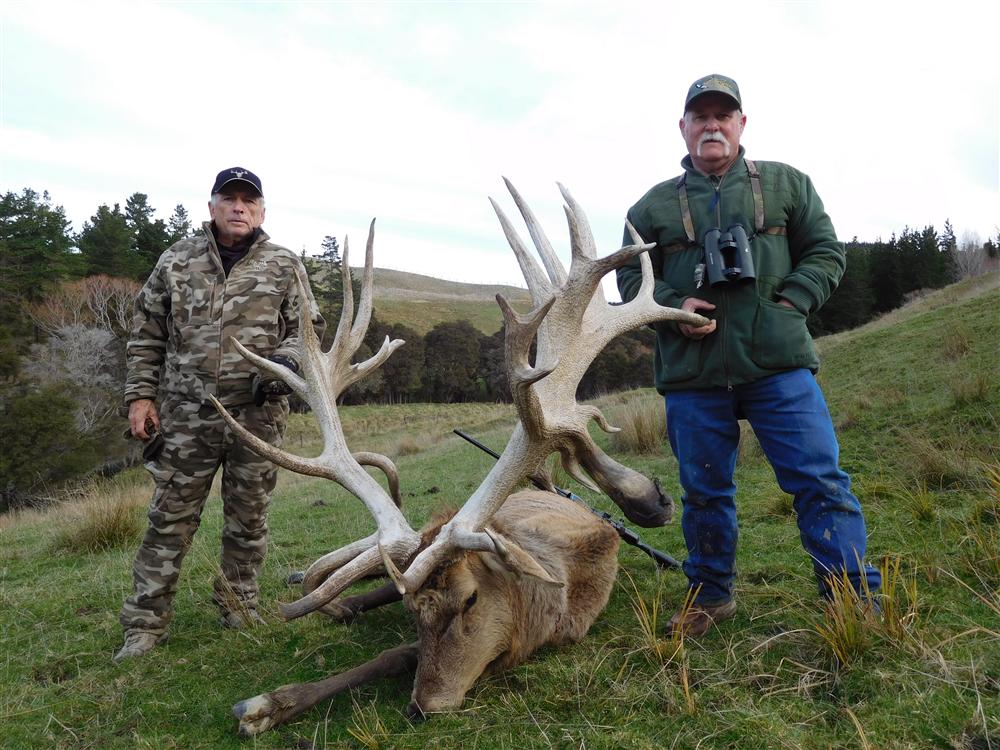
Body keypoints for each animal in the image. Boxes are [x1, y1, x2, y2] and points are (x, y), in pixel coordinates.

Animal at [209, 179, 709, 735]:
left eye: (470, 598)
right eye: (415, 613)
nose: (424, 706)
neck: (554, 593)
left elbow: (401, 655)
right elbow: (388, 641)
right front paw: (266, 704)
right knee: (347, 580)